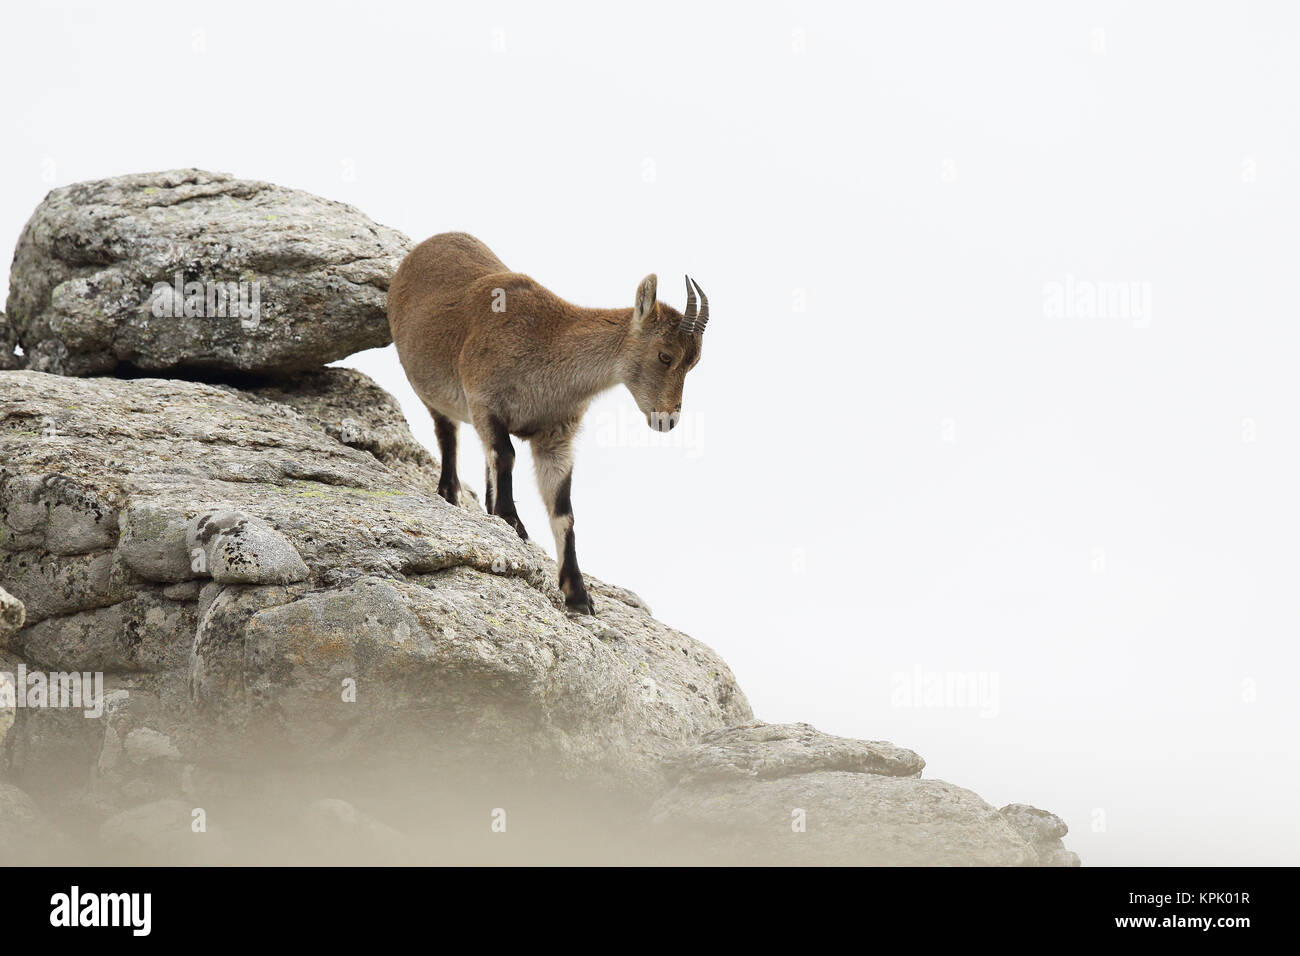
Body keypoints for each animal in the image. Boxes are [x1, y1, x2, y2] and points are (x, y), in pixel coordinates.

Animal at [387, 232, 708, 616]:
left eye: (694, 363)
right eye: (664, 355)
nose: (668, 418)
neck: (546, 347)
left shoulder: (556, 436)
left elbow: (562, 509)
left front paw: (578, 593)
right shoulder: (484, 402)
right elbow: (506, 455)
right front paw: (513, 524)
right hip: (427, 388)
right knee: (448, 434)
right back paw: (449, 493)